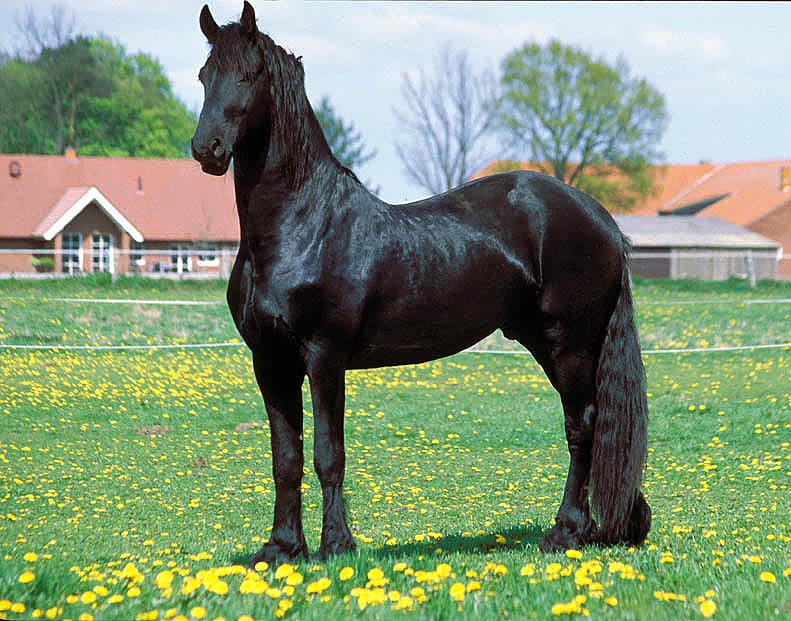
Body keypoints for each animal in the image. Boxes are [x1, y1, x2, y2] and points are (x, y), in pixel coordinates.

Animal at [192, 2, 650, 565]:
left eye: (249, 74)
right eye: (204, 75)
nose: (207, 149)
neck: (301, 225)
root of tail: (601, 218)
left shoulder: (324, 356)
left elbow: (328, 454)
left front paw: (336, 545)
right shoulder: (269, 362)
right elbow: (286, 459)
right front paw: (281, 548)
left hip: (571, 345)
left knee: (583, 427)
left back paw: (564, 533)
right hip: (545, 342)